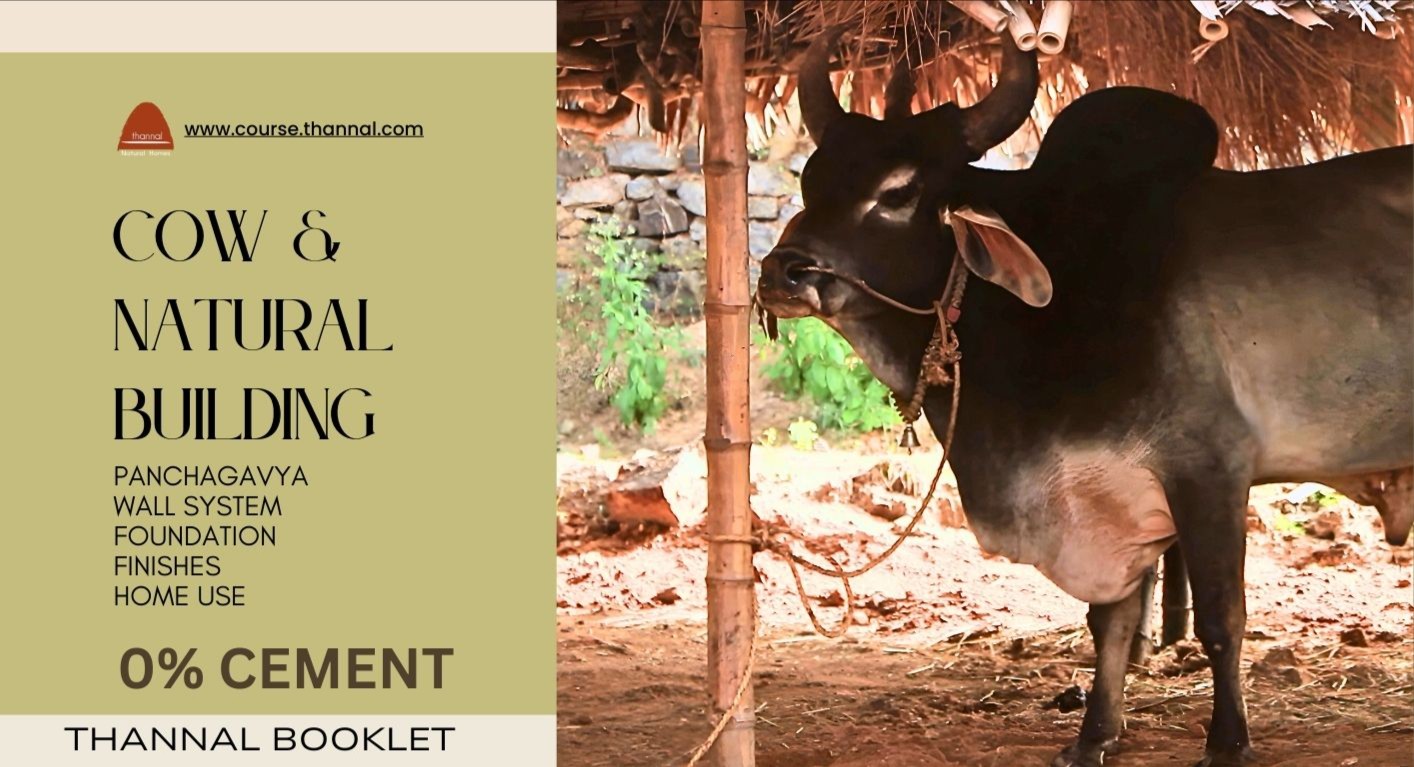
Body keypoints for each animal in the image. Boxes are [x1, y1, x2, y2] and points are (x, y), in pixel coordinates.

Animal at [755, 27, 1413, 767]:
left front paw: (1227, 741)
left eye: (897, 190)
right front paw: (1095, 733)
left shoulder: (1210, 470)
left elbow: (1221, 617)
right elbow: (1110, 620)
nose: (783, 272)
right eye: (810, 179)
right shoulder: (1105, 493)